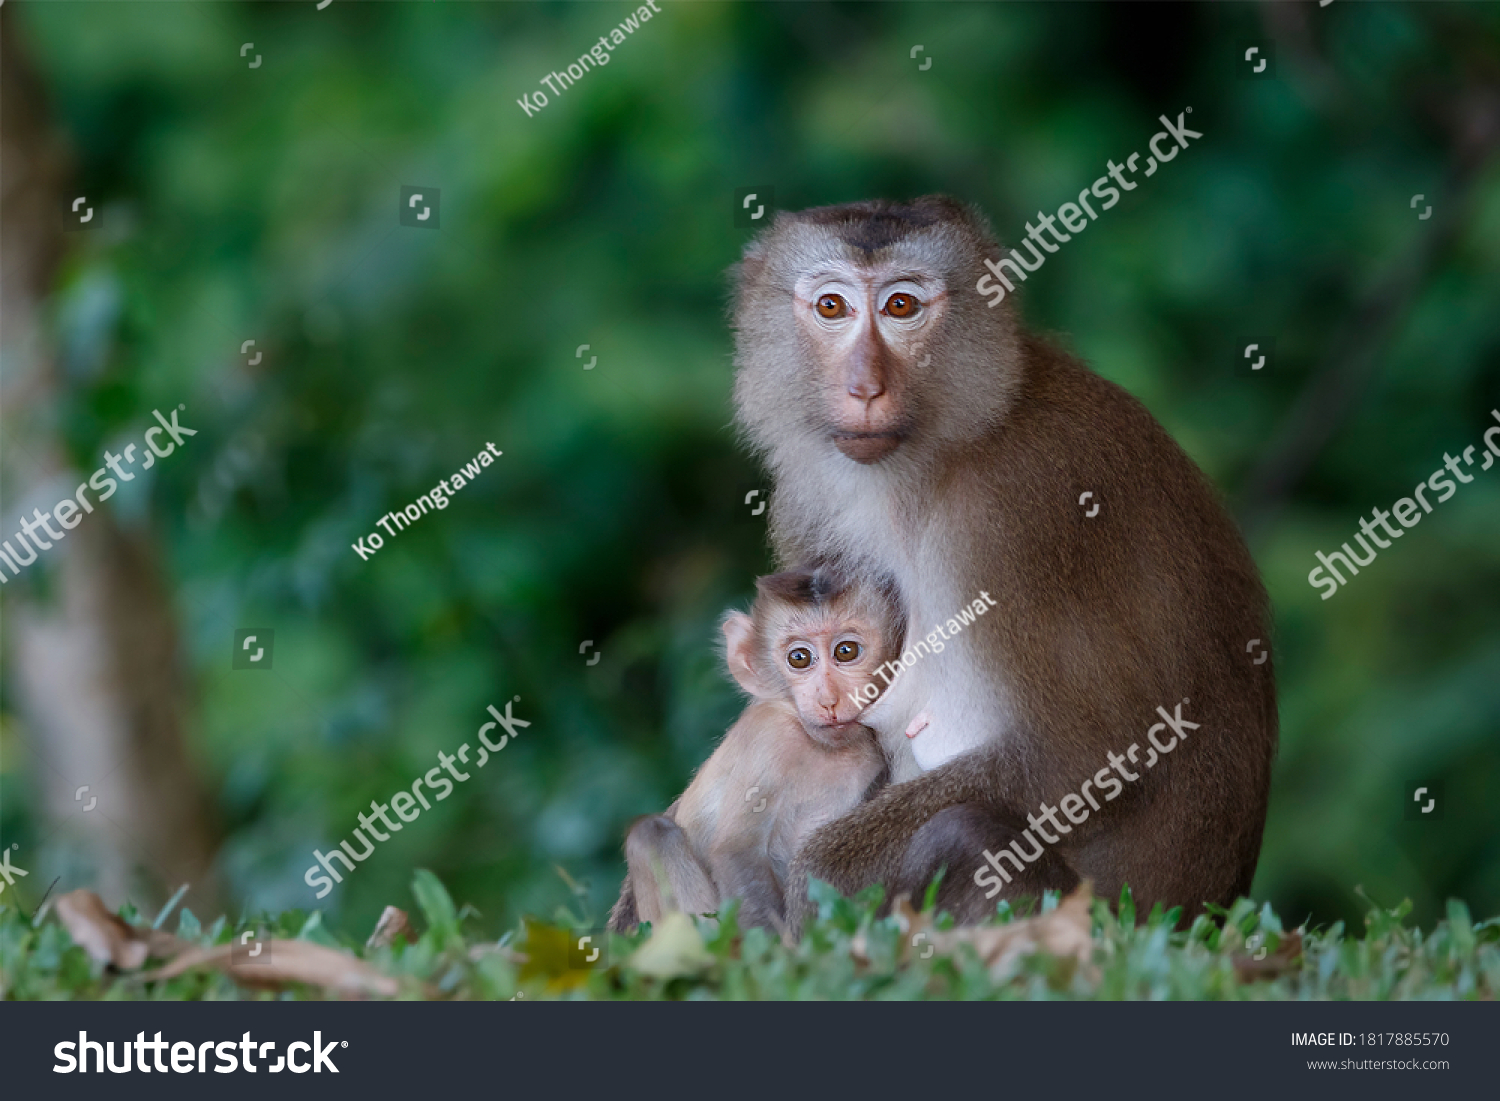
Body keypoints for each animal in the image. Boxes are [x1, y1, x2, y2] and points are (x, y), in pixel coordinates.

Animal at [608, 566, 902, 932]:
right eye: (799, 658)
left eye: (846, 651)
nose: (827, 699)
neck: (819, 747)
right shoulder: (772, 739)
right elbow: (737, 853)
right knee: (651, 834)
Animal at [726, 195, 1277, 933]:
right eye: (832, 307)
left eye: (901, 306)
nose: (865, 385)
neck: (929, 464)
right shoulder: (807, 498)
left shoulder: (1026, 512)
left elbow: (1086, 756)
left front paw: (815, 879)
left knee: (968, 834)